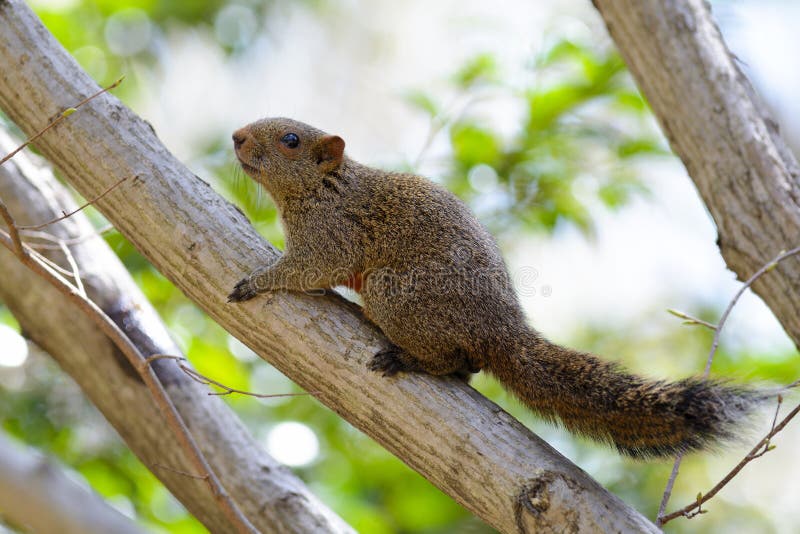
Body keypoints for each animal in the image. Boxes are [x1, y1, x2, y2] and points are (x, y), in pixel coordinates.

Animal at [228, 117, 767, 458]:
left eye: (291, 139)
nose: (236, 136)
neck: (323, 188)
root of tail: (500, 330)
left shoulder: (332, 234)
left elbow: (309, 270)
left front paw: (257, 280)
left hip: (394, 292)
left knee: (454, 359)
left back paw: (407, 357)